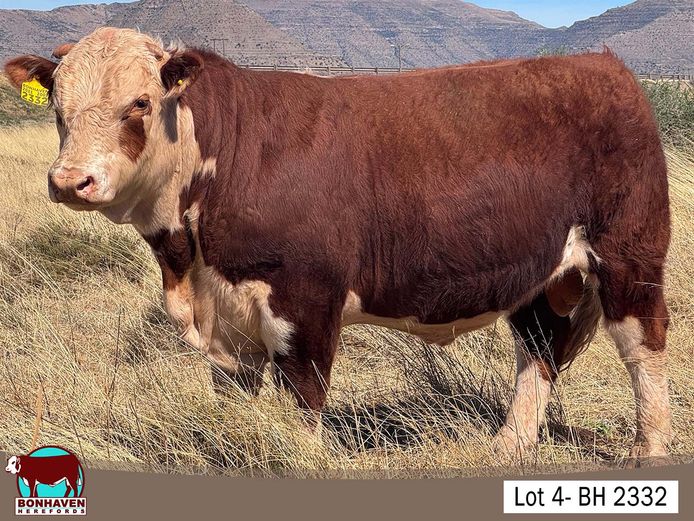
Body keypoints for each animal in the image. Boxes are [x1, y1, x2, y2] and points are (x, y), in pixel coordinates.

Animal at [4, 27, 673, 464]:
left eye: (139, 102)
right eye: (57, 106)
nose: (70, 181)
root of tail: (603, 66)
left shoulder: (306, 300)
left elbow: (303, 398)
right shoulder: (229, 318)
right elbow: (236, 398)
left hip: (629, 255)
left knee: (644, 343)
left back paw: (650, 448)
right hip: (541, 273)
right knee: (537, 347)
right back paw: (508, 444)